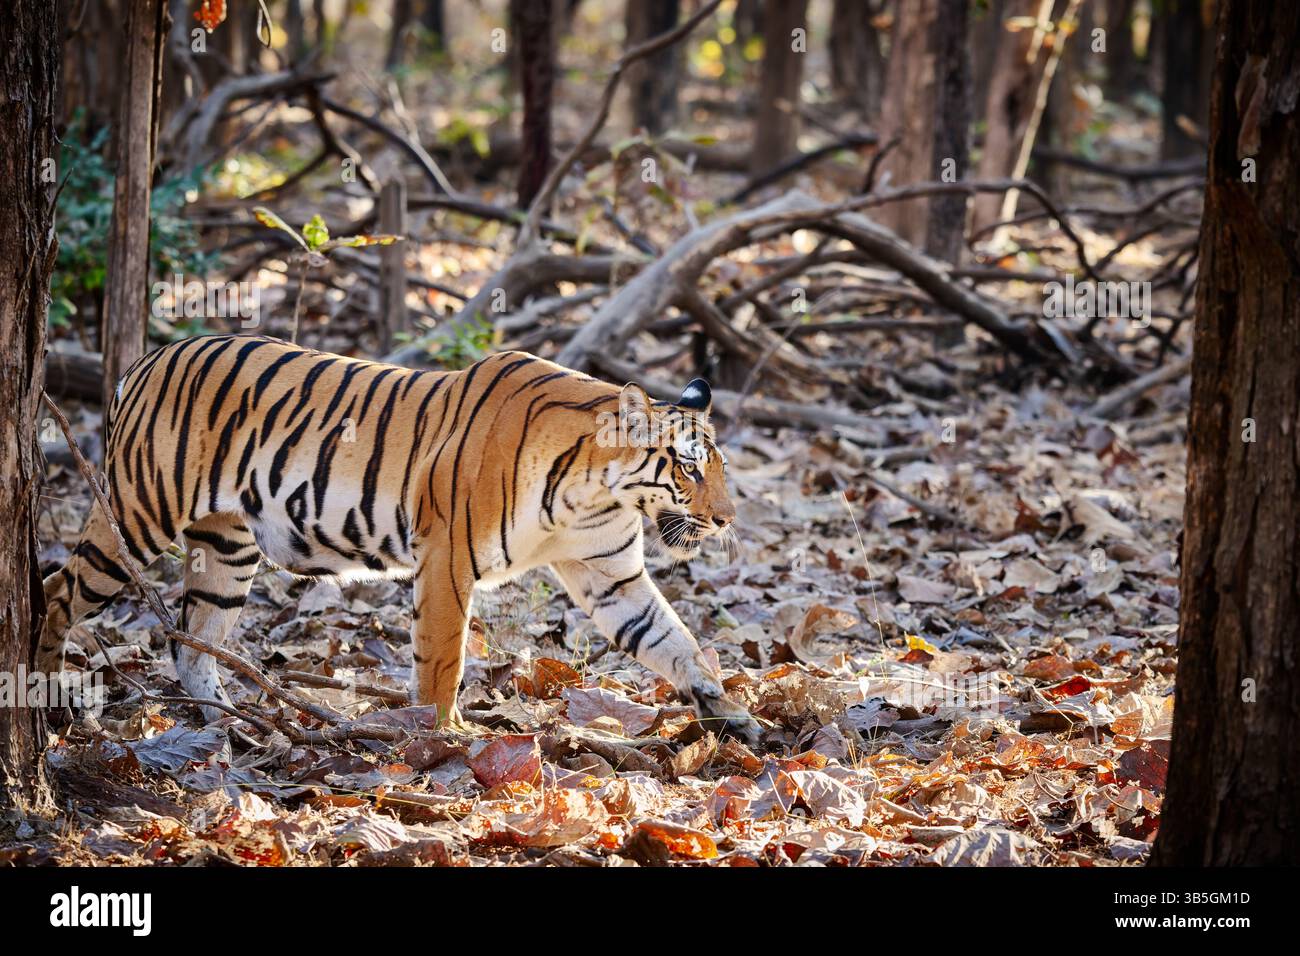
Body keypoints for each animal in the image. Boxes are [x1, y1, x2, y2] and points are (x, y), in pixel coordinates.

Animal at [38, 334, 760, 742]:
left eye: (719, 465)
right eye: (689, 466)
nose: (728, 520)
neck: (597, 491)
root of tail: (146, 360)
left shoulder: (610, 574)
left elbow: (678, 643)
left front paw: (729, 711)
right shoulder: (447, 560)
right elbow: (442, 660)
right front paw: (447, 736)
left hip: (226, 547)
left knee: (193, 643)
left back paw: (232, 724)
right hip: (136, 513)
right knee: (56, 589)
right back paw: (47, 704)